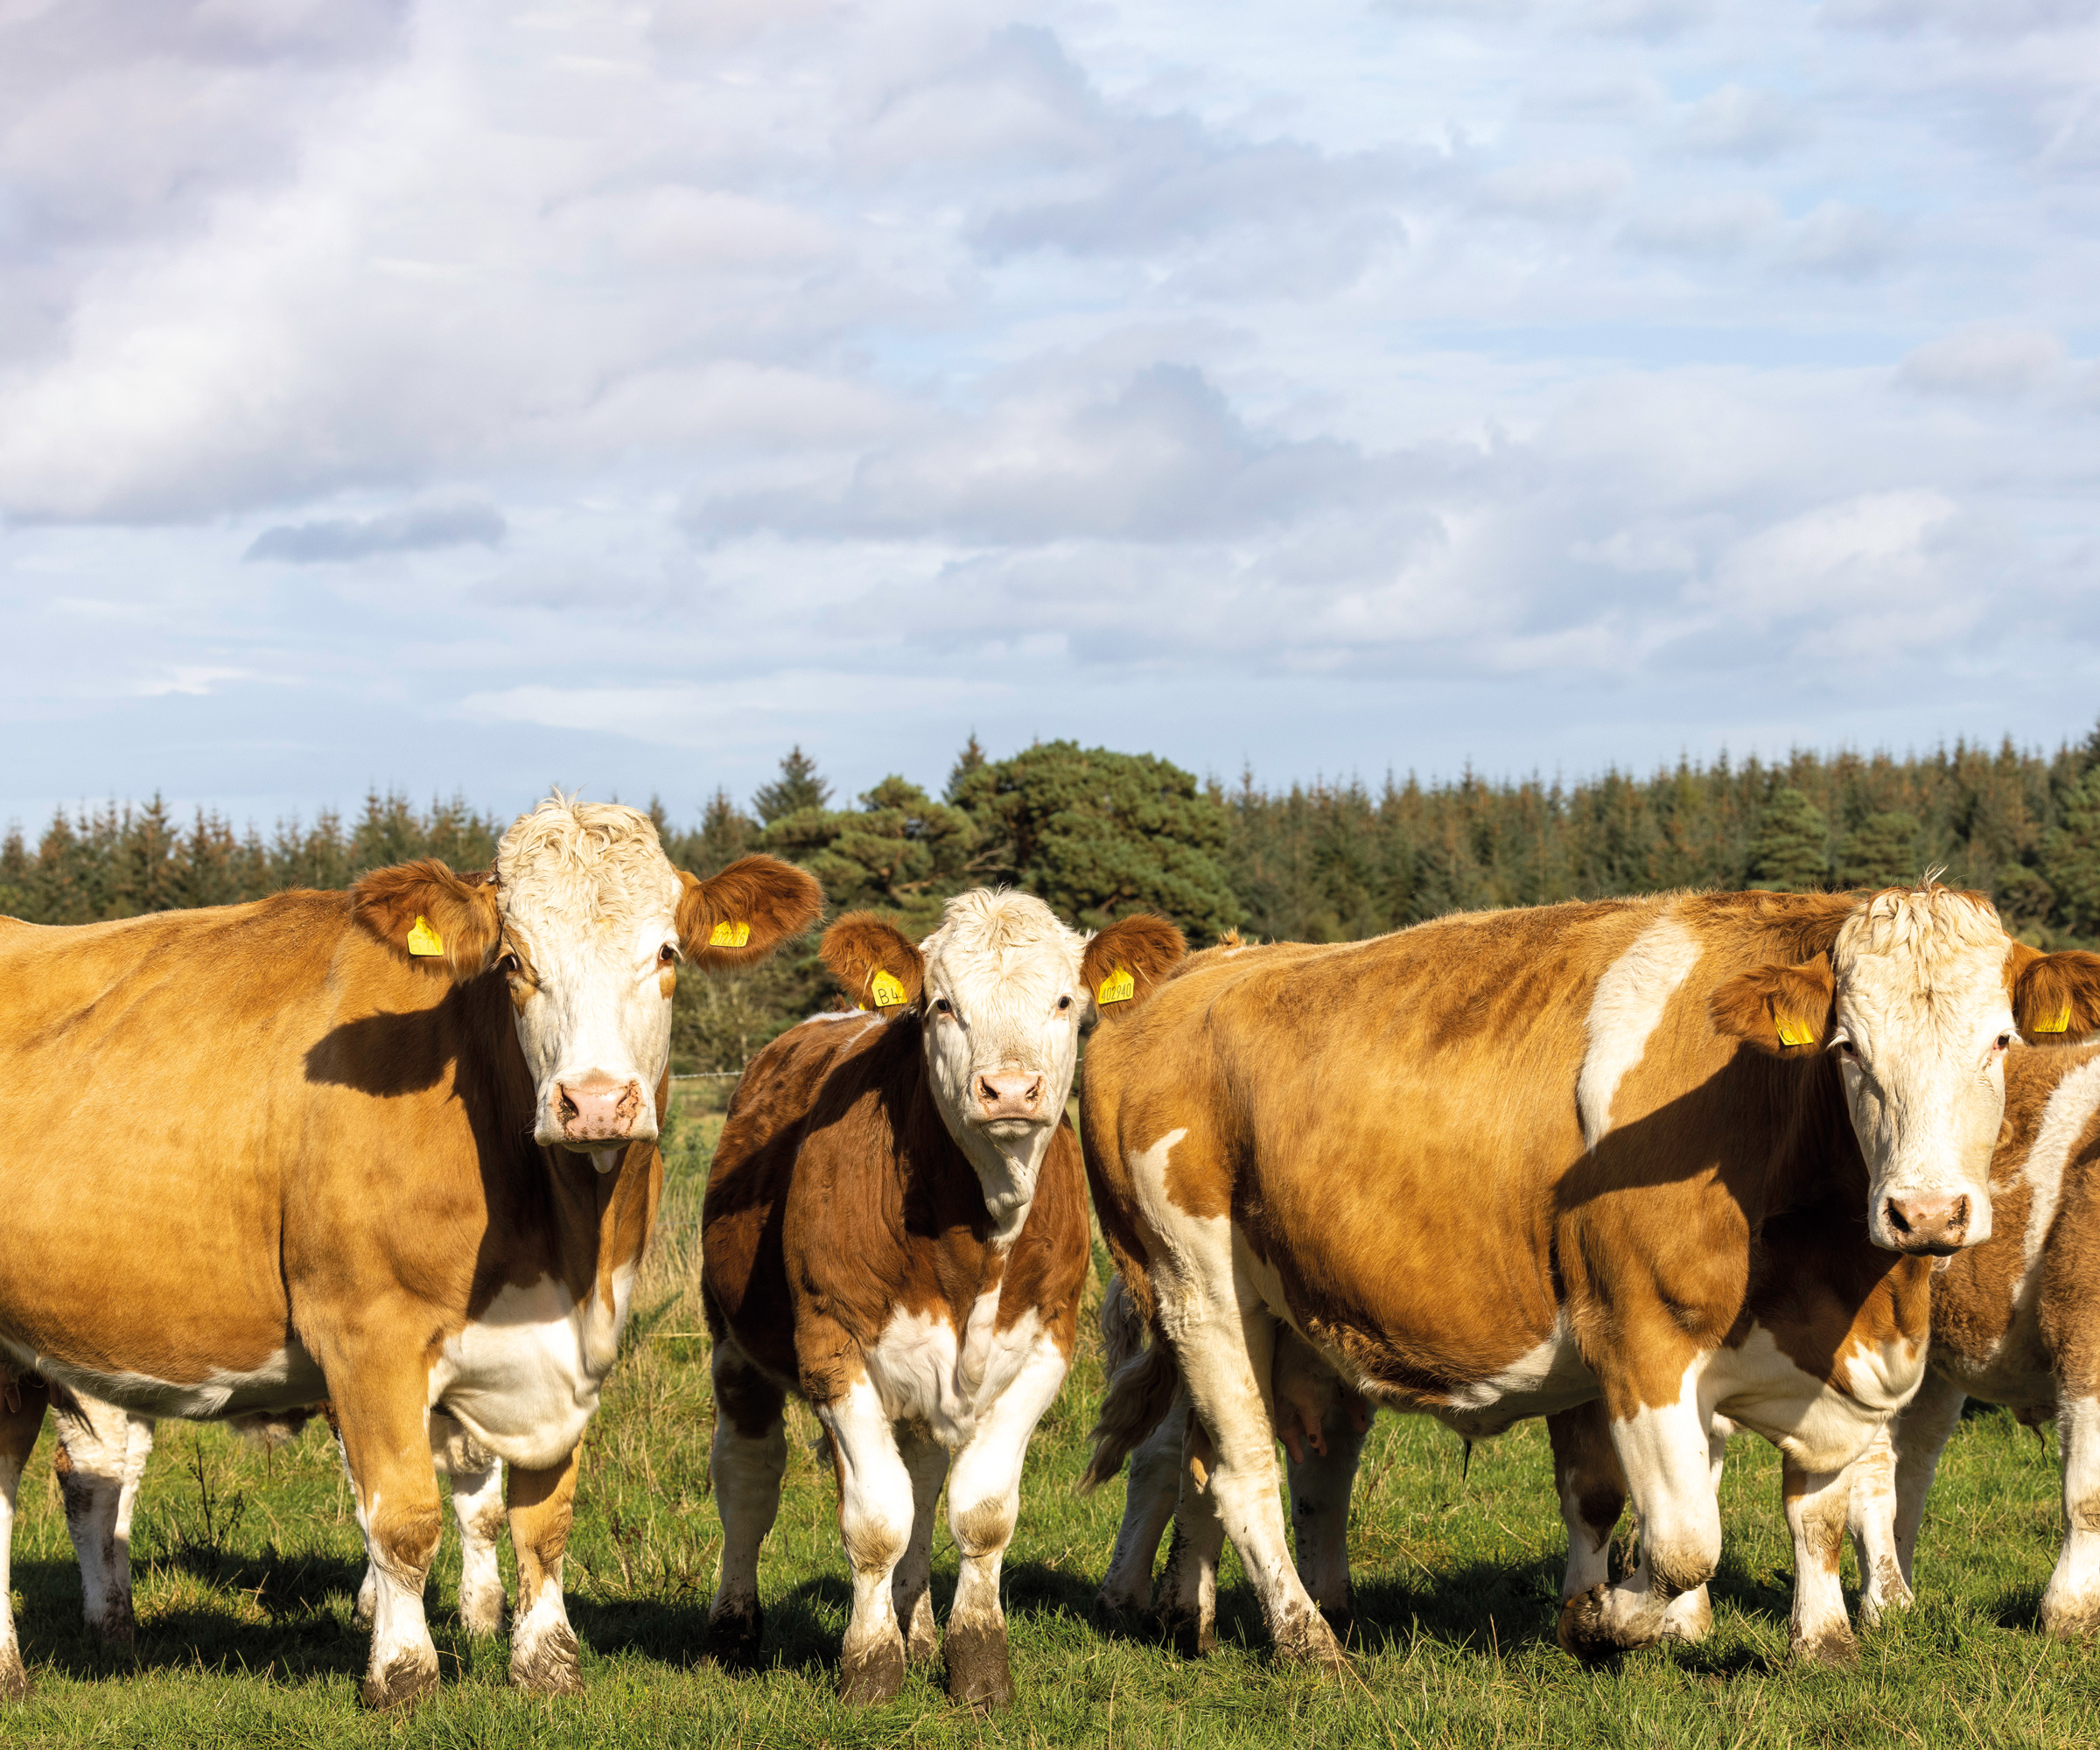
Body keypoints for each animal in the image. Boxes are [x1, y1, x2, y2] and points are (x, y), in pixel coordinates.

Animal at [0, 796, 820, 1706]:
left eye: (666, 952)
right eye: (513, 961)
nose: (596, 1102)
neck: (562, 1247)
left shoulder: (573, 1354)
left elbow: (542, 1519)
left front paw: (548, 1665)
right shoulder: (367, 1336)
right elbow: (400, 1519)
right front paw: (401, 1673)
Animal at [699, 894, 1184, 1709]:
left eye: (1066, 1002)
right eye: (943, 1005)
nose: (1011, 1090)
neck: (976, 1235)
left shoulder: (1046, 1348)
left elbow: (977, 1513)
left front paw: (976, 1664)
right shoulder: (833, 1347)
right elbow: (874, 1521)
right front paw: (869, 1668)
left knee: (923, 1483)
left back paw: (919, 1631)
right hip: (734, 1342)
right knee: (748, 1479)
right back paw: (734, 1629)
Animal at [1078, 885, 2100, 1671]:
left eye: (2002, 1041)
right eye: (1847, 1047)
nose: (1925, 1214)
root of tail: (1190, 972)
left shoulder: (1835, 1358)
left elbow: (1815, 1504)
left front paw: (1825, 1643)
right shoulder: (1639, 1340)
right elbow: (1684, 1544)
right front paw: (1610, 1618)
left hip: (1276, 1311)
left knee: (1221, 1456)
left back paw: (1203, 1615)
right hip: (1195, 1286)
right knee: (1243, 1464)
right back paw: (1305, 1640)